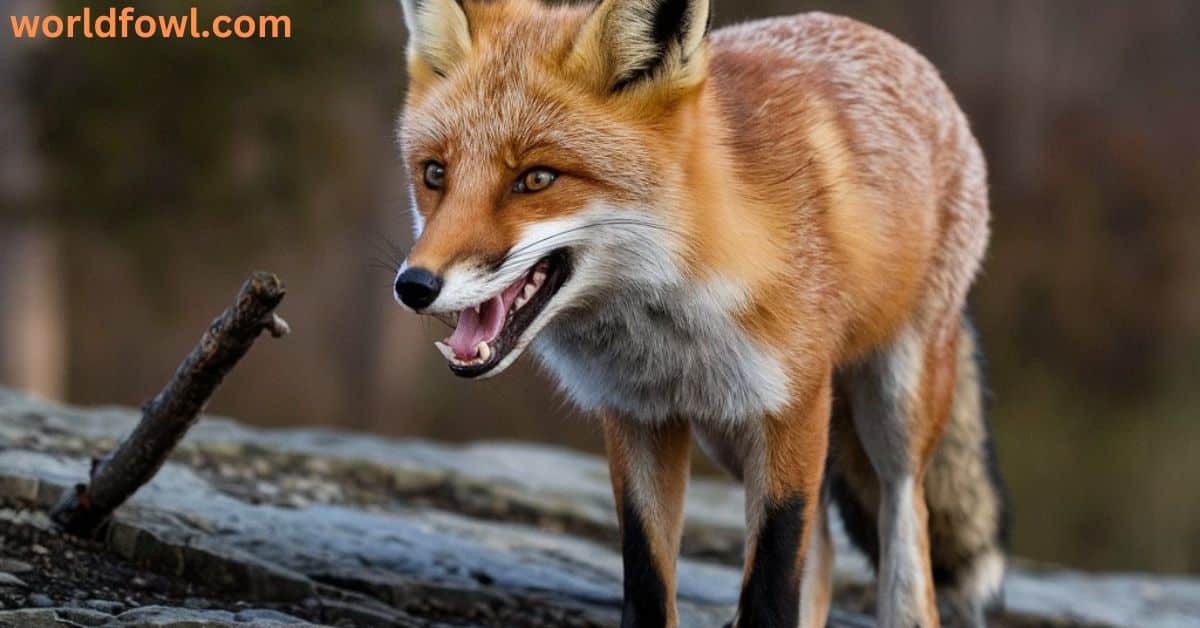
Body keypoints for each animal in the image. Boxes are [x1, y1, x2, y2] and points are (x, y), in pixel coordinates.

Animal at [389, 0, 1008, 626]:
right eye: (435, 174)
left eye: (536, 178)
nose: (414, 286)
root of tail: (892, 46)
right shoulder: (638, 415)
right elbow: (649, 582)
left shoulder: (793, 405)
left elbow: (770, 587)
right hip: (728, 432)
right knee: (825, 548)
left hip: (894, 409)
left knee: (906, 528)